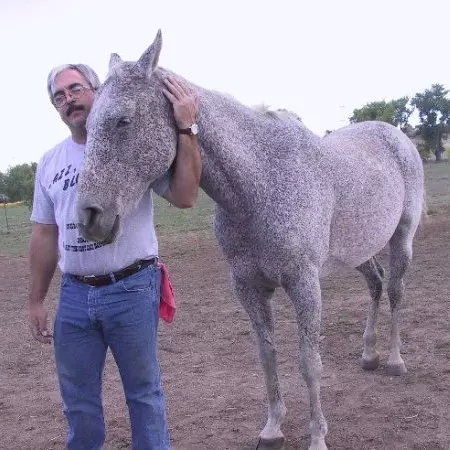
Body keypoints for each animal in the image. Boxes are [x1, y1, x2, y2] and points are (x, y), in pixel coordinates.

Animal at [76, 29, 426, 448]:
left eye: (123, 121)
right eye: (89, 123)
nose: (88, 216)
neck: (259, 182)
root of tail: (395, 136)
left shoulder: (304, 282)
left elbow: (310, 363)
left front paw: (317, 436)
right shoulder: (248, 286)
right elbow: (266, 355)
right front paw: (273, 428)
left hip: (401, 237)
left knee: (396, 290)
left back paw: (394, 360)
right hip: (358, 250)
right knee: (375, 284)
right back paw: (369, 355)